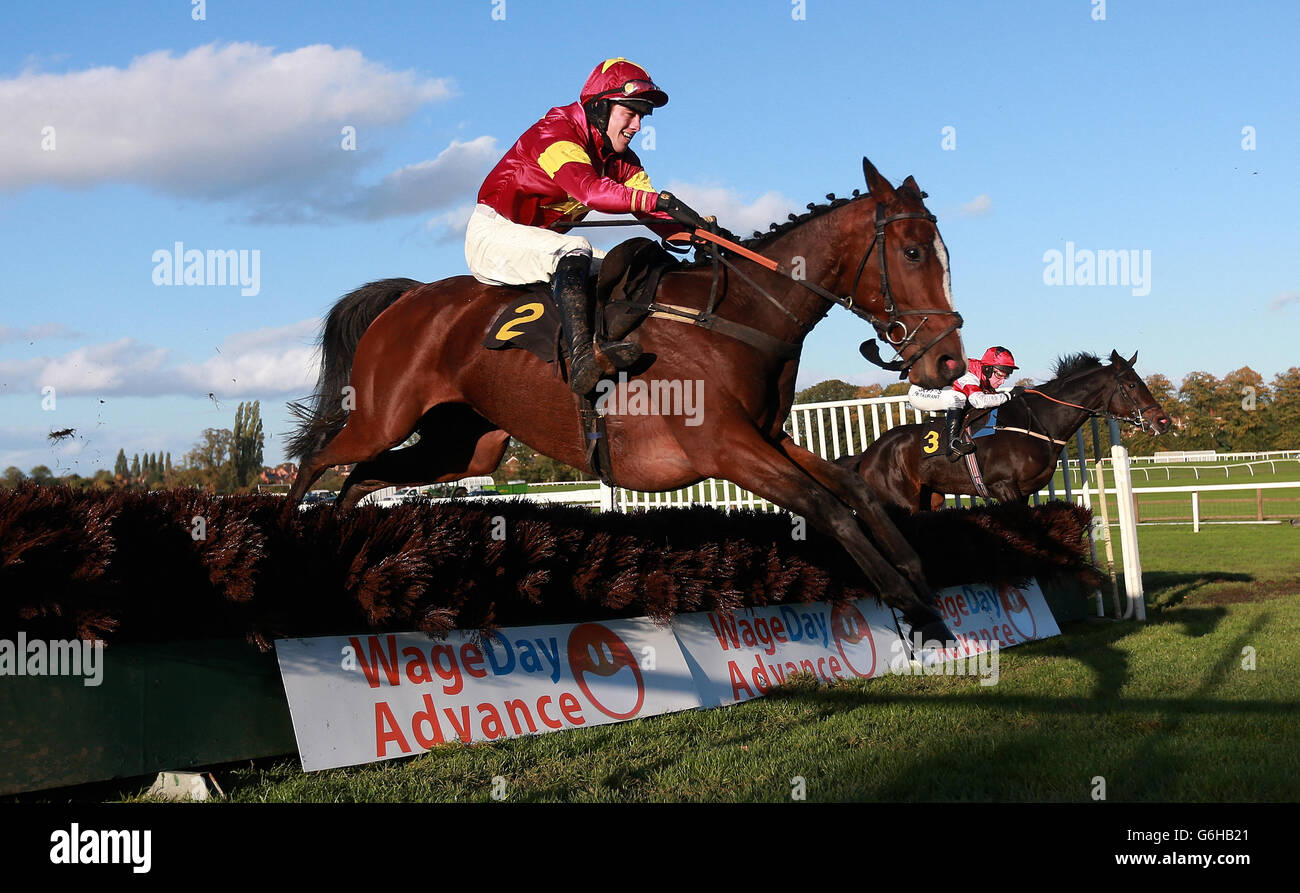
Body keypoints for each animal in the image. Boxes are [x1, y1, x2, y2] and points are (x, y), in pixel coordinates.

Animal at [284, 157, 968, 642]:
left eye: (944, 254)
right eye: (912, 252)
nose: (950, 361)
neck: (736, 317)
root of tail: (407, 297)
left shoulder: (768, 436)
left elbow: (855, 491)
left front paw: (922, 587)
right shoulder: (724, 447)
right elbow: (825, 506)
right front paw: (910, 606)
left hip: (466, 447)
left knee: (365, 476)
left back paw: (345, 551)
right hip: (384, 414)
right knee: (318, 459)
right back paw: (289, 546)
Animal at [838, 351, 1172, 512]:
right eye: (1132, 385)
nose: (1163, 421)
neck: (1036, 422)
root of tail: (867, 454)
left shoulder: (1023, 492)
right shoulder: (1004, 487)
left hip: (930, 497)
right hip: (899, 500)